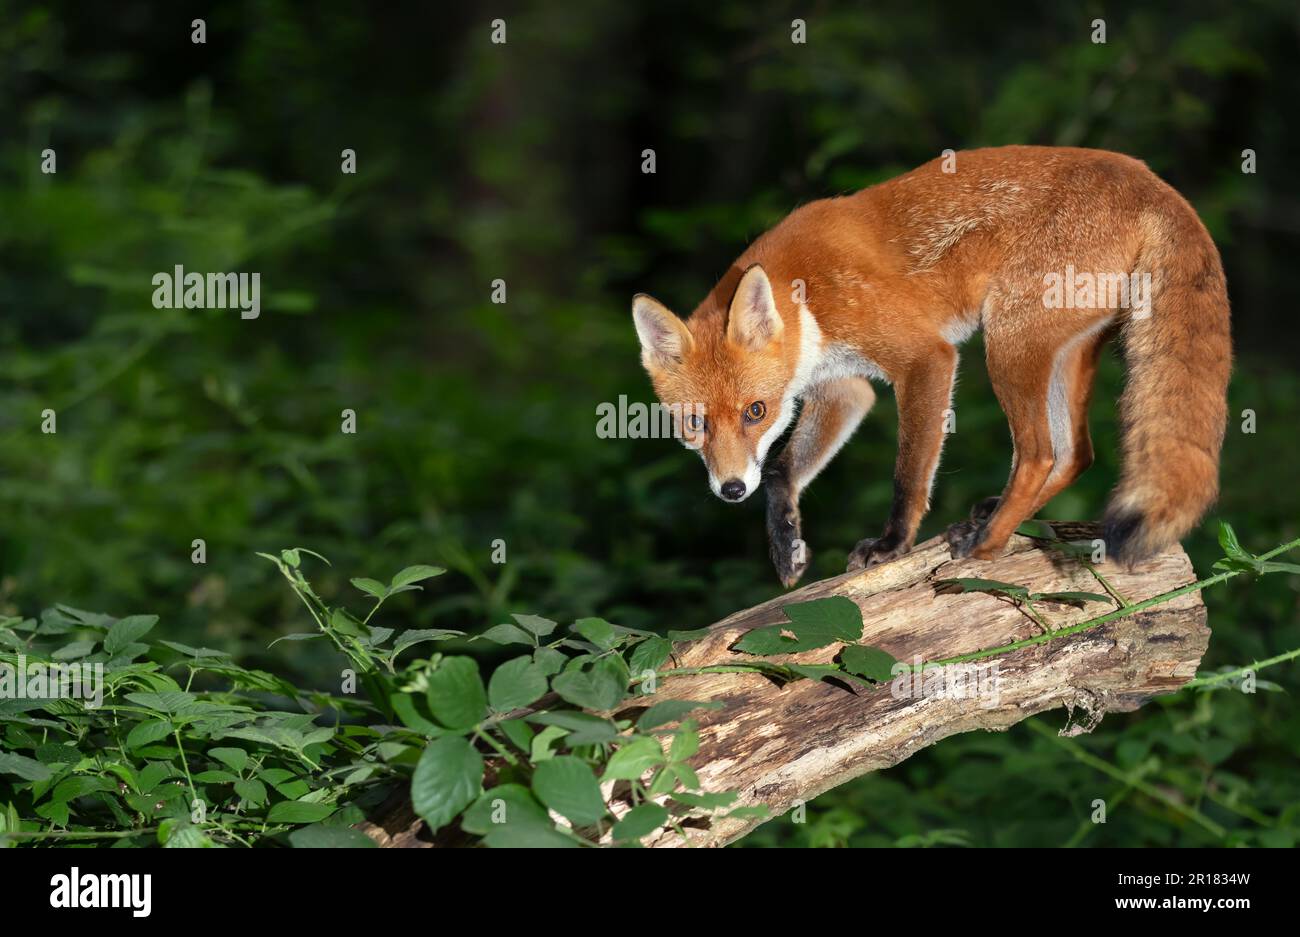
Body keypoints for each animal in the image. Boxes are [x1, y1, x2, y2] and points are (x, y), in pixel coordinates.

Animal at [632, 146, 1231, 587]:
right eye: (694, 424)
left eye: (755, 412)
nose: (732, 489)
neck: (805, 297)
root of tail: (1150, 178)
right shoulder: (843, 387)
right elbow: (781, 470)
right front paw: (786, 544)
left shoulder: (926, 358)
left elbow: (908, 474)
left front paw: (892, 544)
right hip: (1065, 351)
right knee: (1076, 454)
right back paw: (995, 515)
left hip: (1008, 341)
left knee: (1039, 454)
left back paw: (986, 544)